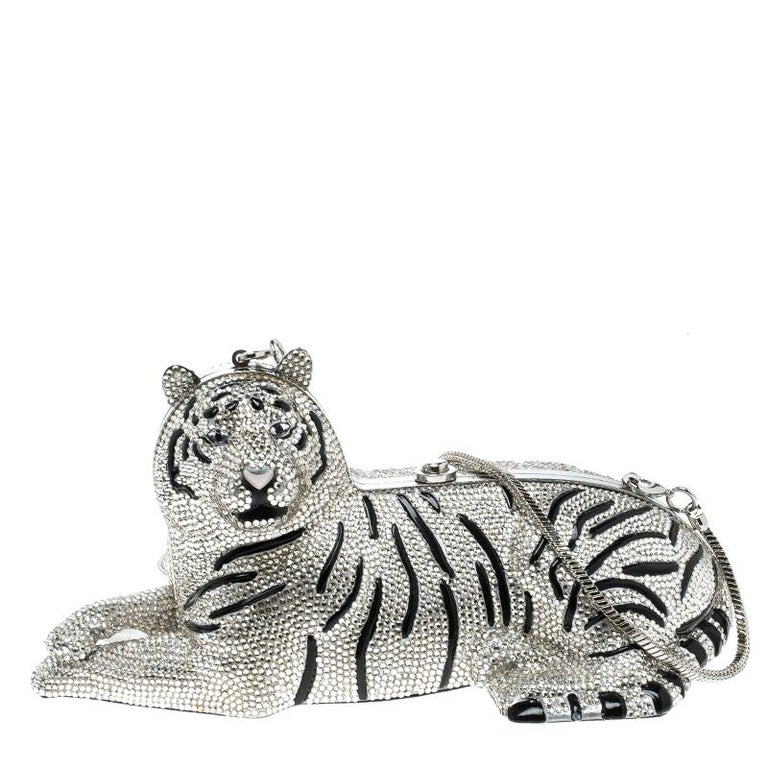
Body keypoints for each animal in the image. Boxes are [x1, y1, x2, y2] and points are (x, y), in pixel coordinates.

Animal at [33, 345, 733, 722]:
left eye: (281, 431)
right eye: (219, 436)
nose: (260, 479)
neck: (203, 544)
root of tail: (688, 526)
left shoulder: (242, 672)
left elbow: (138, 660)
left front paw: (55, 668)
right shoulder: (190, 604)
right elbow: (132, 608)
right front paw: (70, 634)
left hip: (604, 567)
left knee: (645, 656)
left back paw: (518, 663)